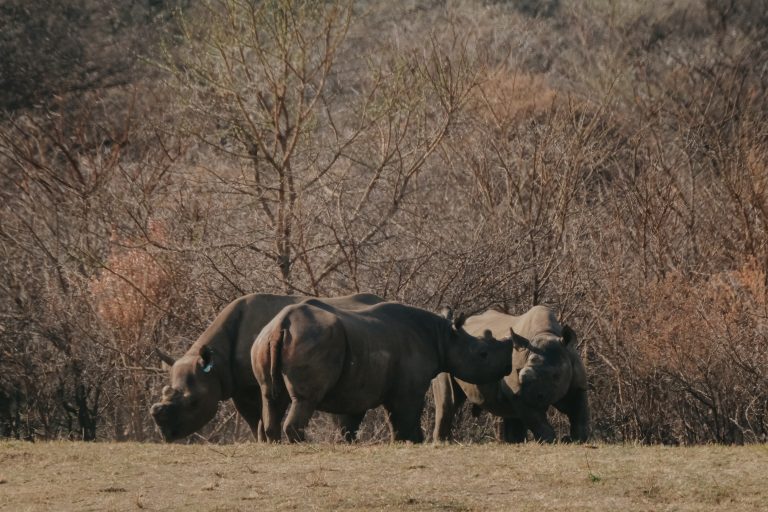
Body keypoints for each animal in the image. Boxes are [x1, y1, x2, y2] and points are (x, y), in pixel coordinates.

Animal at [149, 292, 385, 442]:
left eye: (193, 402)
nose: (166, 435)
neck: (215, 364)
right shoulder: (239, 385)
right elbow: (253, 418)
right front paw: (261, 441)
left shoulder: (251, 385)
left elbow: (260, 416)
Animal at [251, 300, 515, 443]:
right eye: (483, 354)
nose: (509, 366)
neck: (444, 337)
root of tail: (281, 324)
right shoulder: (409, 390)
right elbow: (407, 419)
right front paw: (412, 442)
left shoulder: (367, 386)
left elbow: (384, 422)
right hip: (310, 339)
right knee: (304, 399)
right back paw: (304, 444)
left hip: (264, 339)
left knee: (270, 398)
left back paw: (275, 442)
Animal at [432, 305, 589, 443]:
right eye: (520, 375)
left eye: (556, 376)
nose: (535, 399)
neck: (546, 333)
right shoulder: (518, 395)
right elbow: (536, 419)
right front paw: (549, 440)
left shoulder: (578, 383)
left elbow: (579, 413)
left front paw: (577, 439)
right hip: (447, 353)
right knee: (448, 403)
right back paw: (442, 442)